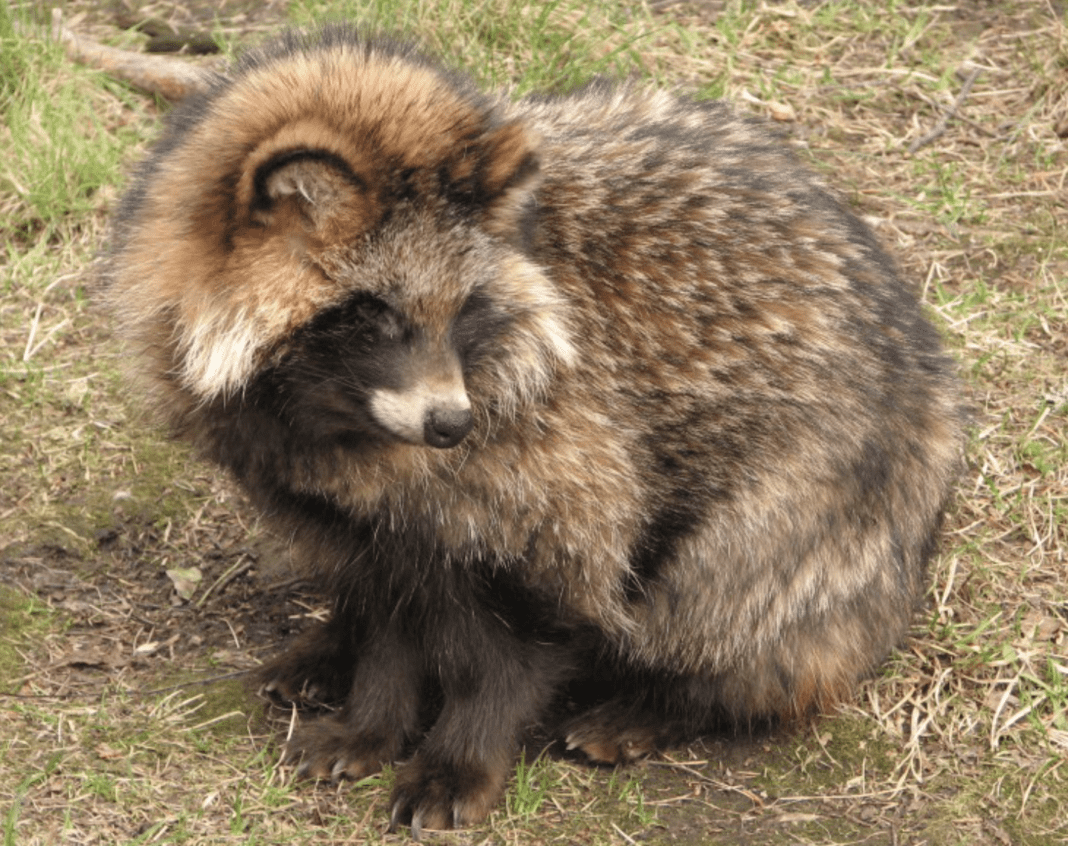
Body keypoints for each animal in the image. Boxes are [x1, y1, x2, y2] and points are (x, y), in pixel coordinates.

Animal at [105, 26, 965, 835]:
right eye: (374, 312)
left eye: (463, 308)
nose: (452, 423)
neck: (326, 411)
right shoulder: (350, 502)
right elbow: (387, 613)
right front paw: (373, 715)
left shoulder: (569, 473)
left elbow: (524, 637)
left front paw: (460, 753)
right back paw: (331, 645)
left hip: (800, 513)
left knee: (720, 603)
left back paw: (672, 699)